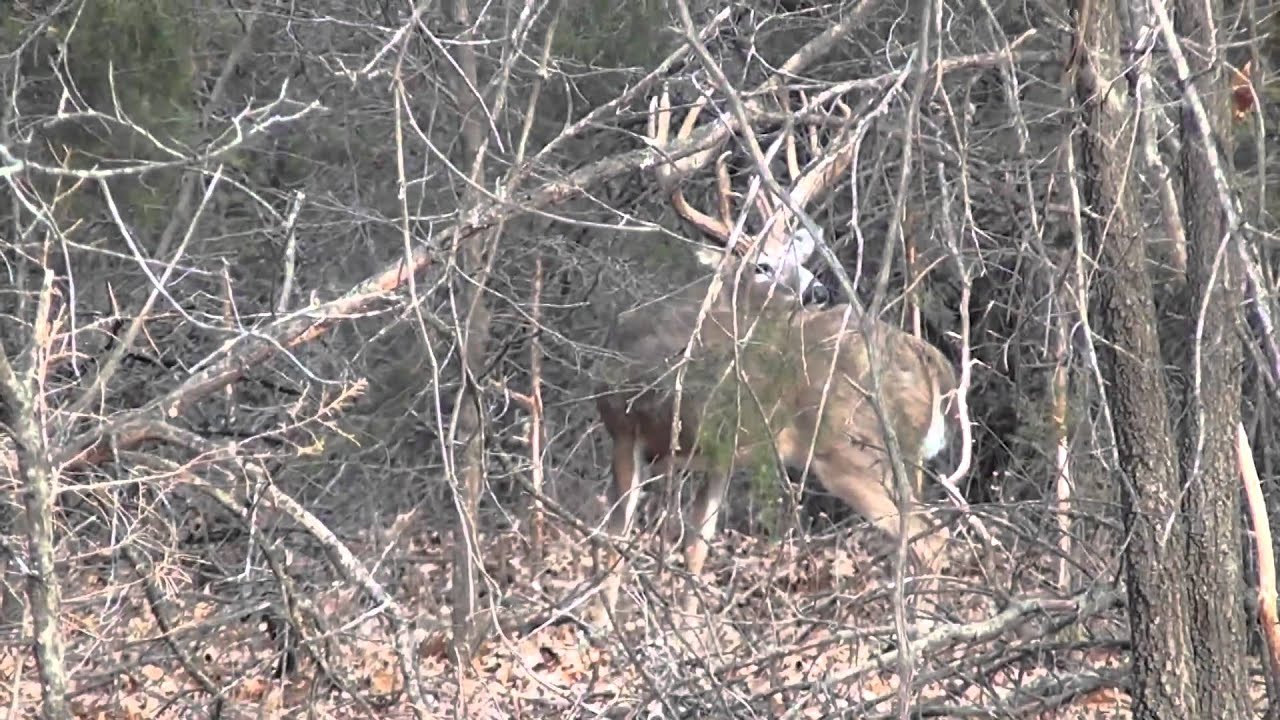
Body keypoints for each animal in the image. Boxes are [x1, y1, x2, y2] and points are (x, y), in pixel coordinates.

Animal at [592, 87, 960, 624]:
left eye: (801, 259)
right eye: (762, 265)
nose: (819, 291)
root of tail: (925, 357)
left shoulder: (623, 430)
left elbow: (615, 540)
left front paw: (603, 628)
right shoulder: (715, 452)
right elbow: (695, 546)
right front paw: (687, 628)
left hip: (852, 450)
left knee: (928, 540)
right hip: (906, 461)